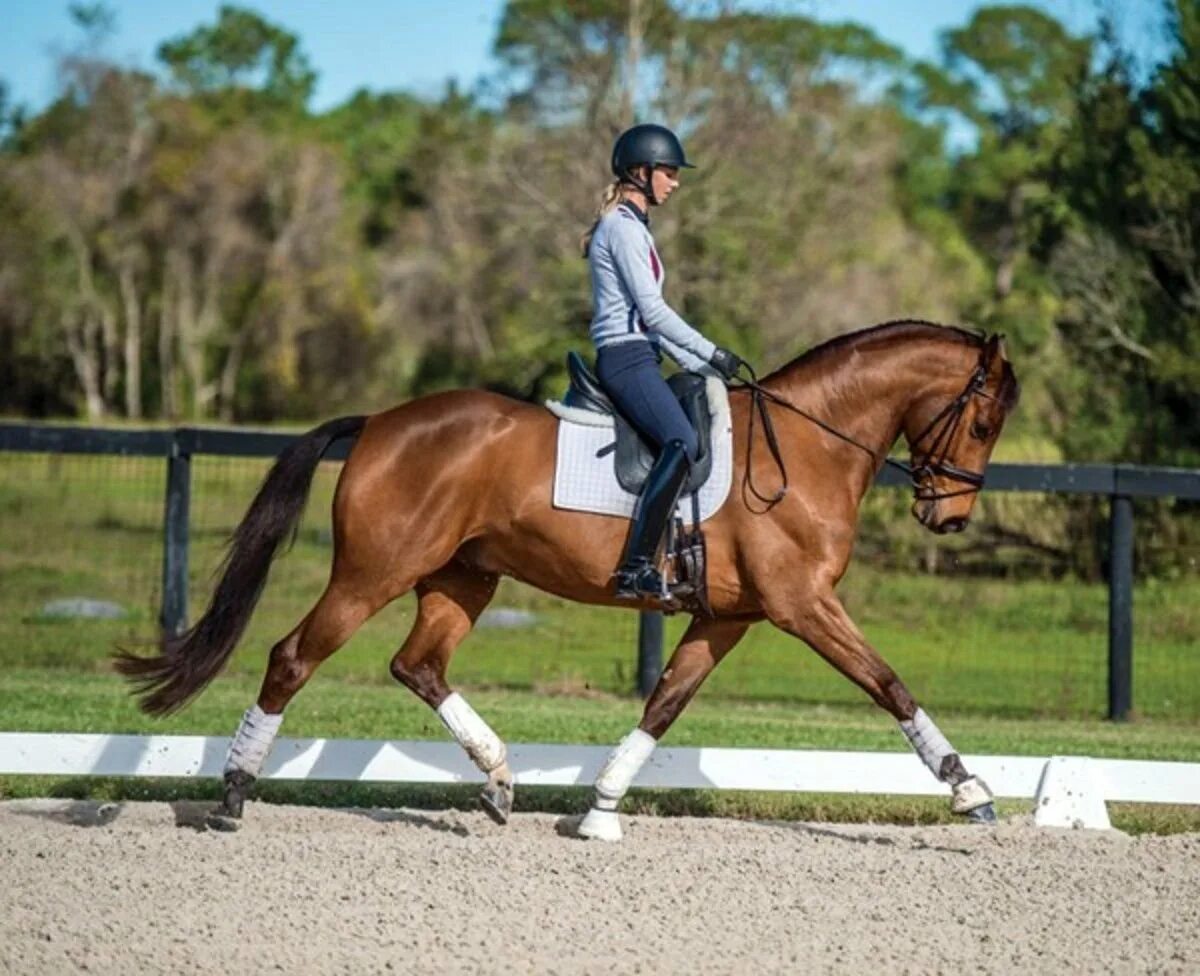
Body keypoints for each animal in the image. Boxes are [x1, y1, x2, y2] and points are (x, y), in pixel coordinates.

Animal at [117, 319, 1022, 835]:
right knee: (293, 657)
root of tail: (380, 423)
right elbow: (888, 683)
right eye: (982, 421)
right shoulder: (803, 604)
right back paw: (233, 797)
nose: (948, 518)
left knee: (418, 664)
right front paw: (970, 789)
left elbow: (664, 705)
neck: (805, 447)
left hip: (462, 579)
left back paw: (499, 781)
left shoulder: (730, 616)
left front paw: (600, 810)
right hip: (373, 572)